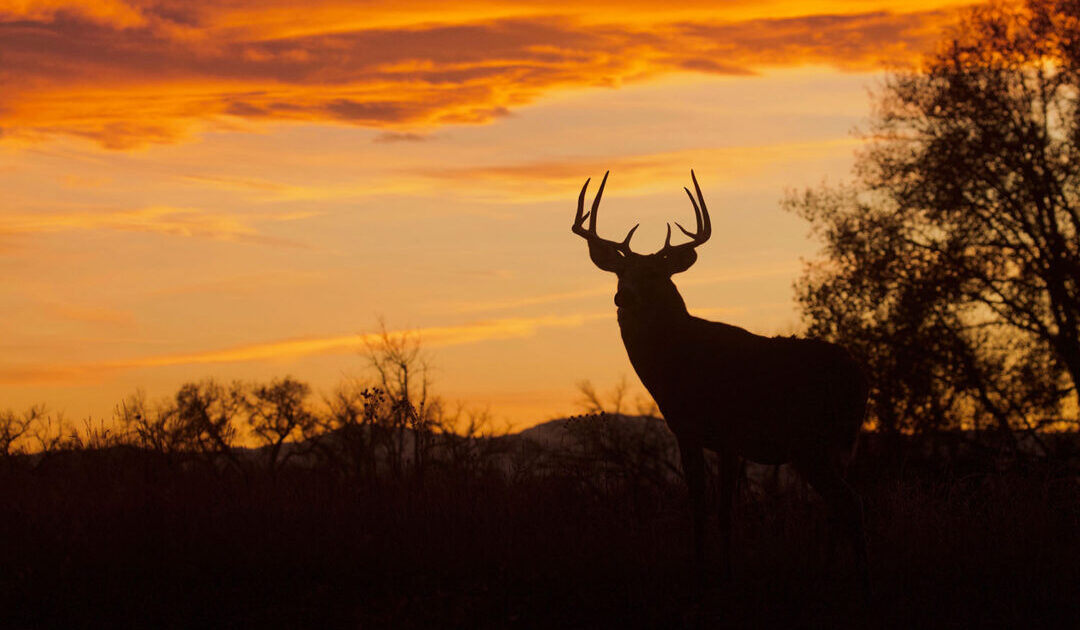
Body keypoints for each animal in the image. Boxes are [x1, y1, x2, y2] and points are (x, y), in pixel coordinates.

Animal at [571, 170, 869, 587]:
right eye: (620, 272)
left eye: (655, 273)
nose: (623, 298)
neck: (678, 364)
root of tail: (858, 377)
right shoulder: (688, 432)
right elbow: (698, 504)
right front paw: (701, 568)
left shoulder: (729, 433)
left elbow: (726, 510)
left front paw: (726, 573)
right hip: (837, 444)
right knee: (836, 507)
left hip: (812, 440)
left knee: (850, 503)